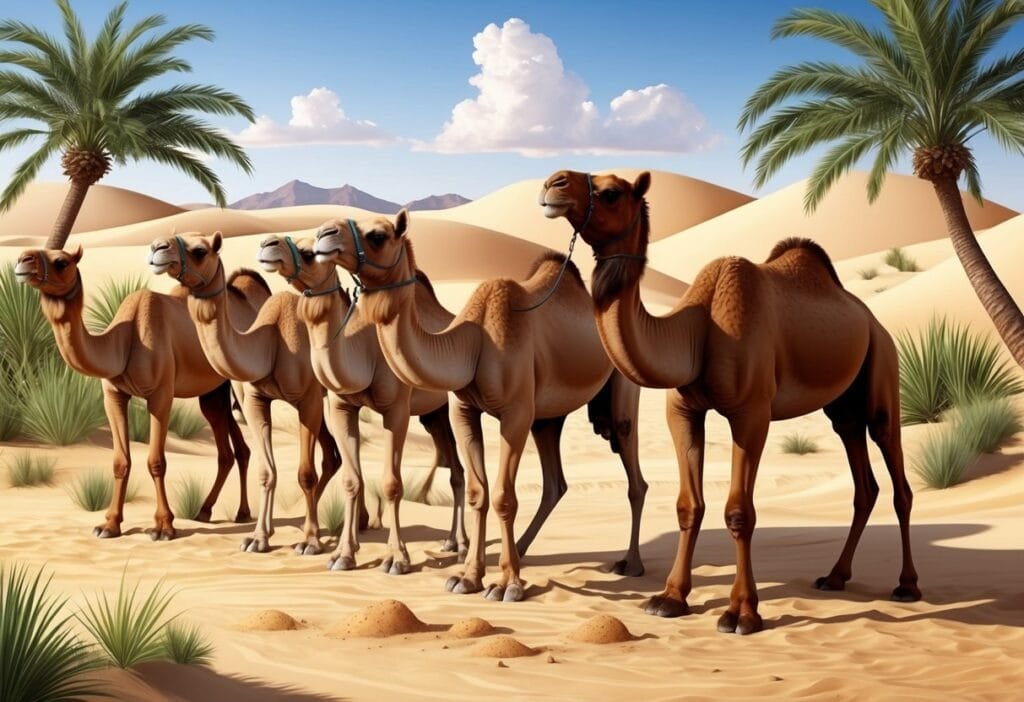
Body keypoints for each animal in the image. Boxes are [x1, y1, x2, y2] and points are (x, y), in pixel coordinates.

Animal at [14, 246, 262, 539]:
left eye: (61, 262)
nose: (22, 260)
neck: (125, 340)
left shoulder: (161, 395)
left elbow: (156, 461)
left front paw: (164, 526)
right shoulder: (113, 396)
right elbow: (120, 461)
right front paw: (109, 525)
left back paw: (239, 514)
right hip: (214, 391)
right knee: (231, 448)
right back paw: (214, 511)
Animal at [148, 233, 341, 555]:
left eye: (200, 250)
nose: (157, 248)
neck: (271, 344)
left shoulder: (308, 399)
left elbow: (305, 473)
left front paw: (310, 541)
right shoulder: (253, 400)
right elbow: (267, 470)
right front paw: (259, 538)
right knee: (333, 455)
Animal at [255, 233, 466, 573]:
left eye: (309, 252)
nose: (267, 244)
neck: (363, 348)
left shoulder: (396, 409)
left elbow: (392, 484)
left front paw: (396, 559)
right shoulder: (342, 406)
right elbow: (351, 479)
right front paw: (343, 555)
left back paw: (461, 546)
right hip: (434, 413)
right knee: (456, 469)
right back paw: (451, 542)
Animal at [313, 212, 647, 602]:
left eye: (378, 235)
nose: (323, 233)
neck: (474, 343)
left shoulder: (515, 413)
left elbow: (503, 496)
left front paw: (507, 585)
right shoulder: (463, 410)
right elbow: (478, 492)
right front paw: (468, 577)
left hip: (621, 388)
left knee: (633, 472)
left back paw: (630, 564)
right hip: (546, 418)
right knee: (555, 483)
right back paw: (521, 549)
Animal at [538, 169, 921, 634]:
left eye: (611, 192)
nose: (554, 184)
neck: (697, 330)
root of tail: (871, 319)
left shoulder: (751, 414)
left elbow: (739, 511)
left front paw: (742, 613)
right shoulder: (683, 411)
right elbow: (688, 506)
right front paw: (669, 598)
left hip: (883, 368)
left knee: (898, 478)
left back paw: (906, 585)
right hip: (843, 408)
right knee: (863, 481)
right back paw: (834, 577)